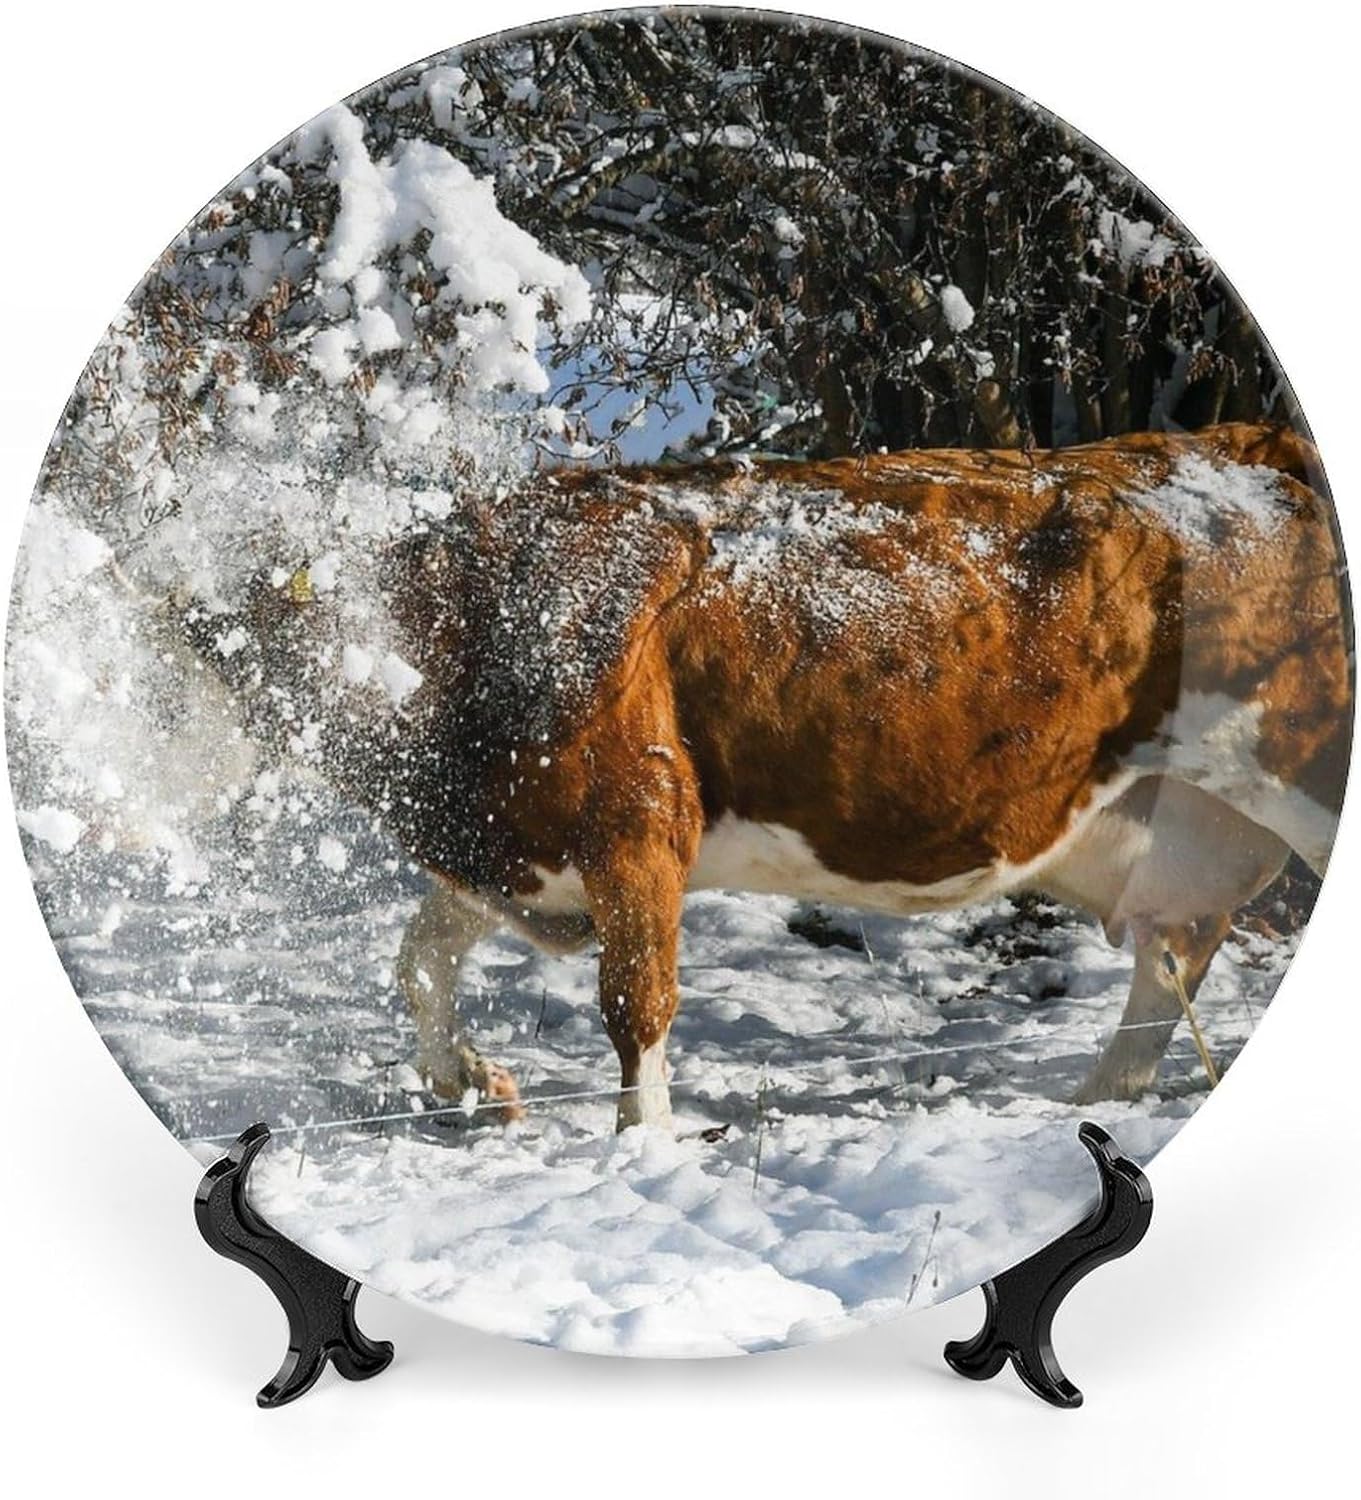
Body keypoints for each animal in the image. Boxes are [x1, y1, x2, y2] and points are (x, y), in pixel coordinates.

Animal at [209, 421, 1352, 1130]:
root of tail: (1240, 447)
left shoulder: (635, 820)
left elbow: (635, 1001)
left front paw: (641, 1147)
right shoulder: (519, 845)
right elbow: (420, 955)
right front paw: (471, 1080)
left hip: (1300, 767)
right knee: (1174, 952)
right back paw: (1097, 1100)